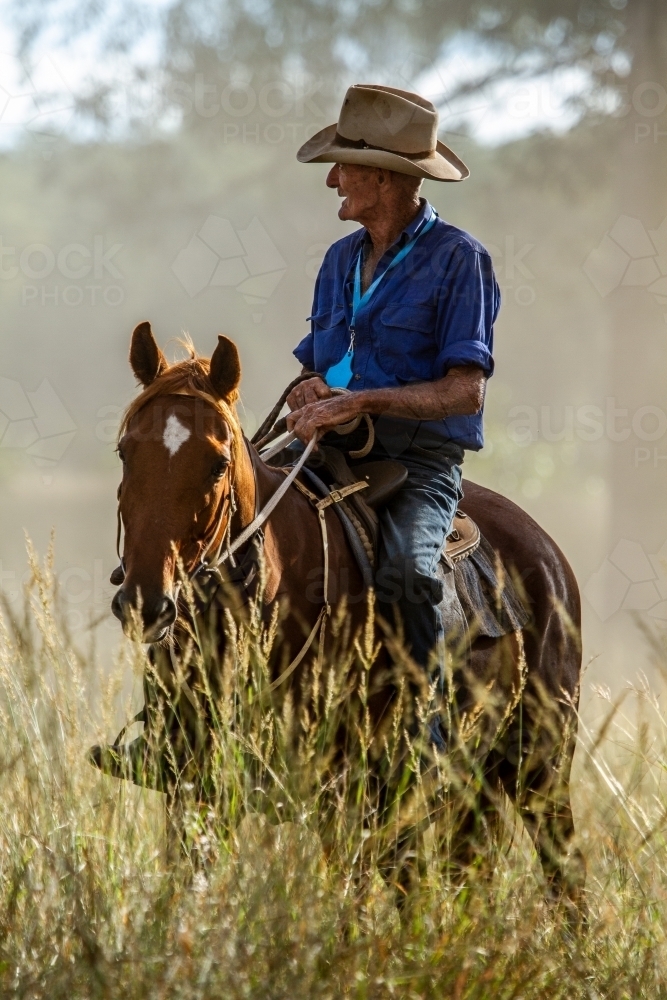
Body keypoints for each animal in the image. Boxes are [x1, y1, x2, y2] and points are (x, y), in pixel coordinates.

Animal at [97, 320, 584, 906]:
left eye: (217, 463)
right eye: (125, 453)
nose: (146, 601)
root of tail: (548, 553)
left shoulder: (343, 799)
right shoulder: (193, 788)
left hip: (542, 767)